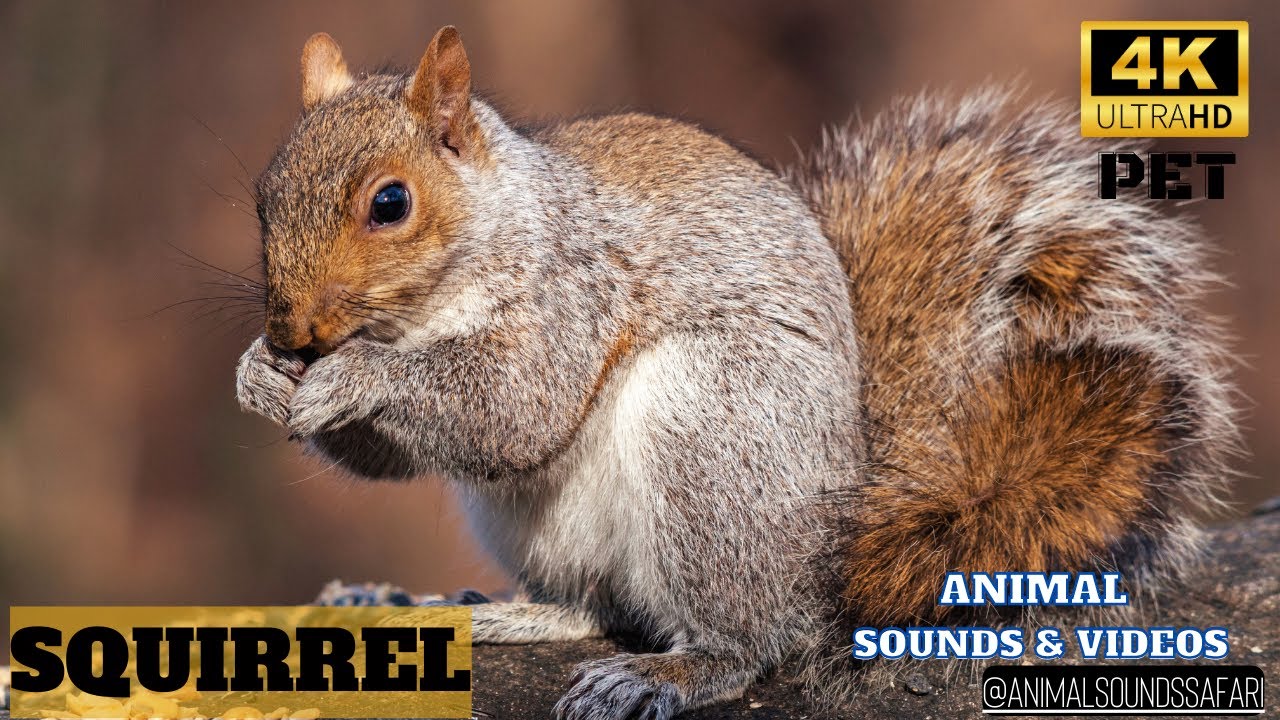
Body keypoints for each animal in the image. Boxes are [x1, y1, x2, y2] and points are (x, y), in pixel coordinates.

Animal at [234, 26, 1239, 719]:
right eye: (262, 197)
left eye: (390, 203)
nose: (290, 329)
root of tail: (839, 529)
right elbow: (396, 458)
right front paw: (259, 375)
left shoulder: (571, 292)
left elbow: (514, 409)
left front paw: (352, 375)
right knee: (595, 609)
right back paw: (513, 615)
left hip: (712, 432)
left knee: (747, 638)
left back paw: (676, 669)